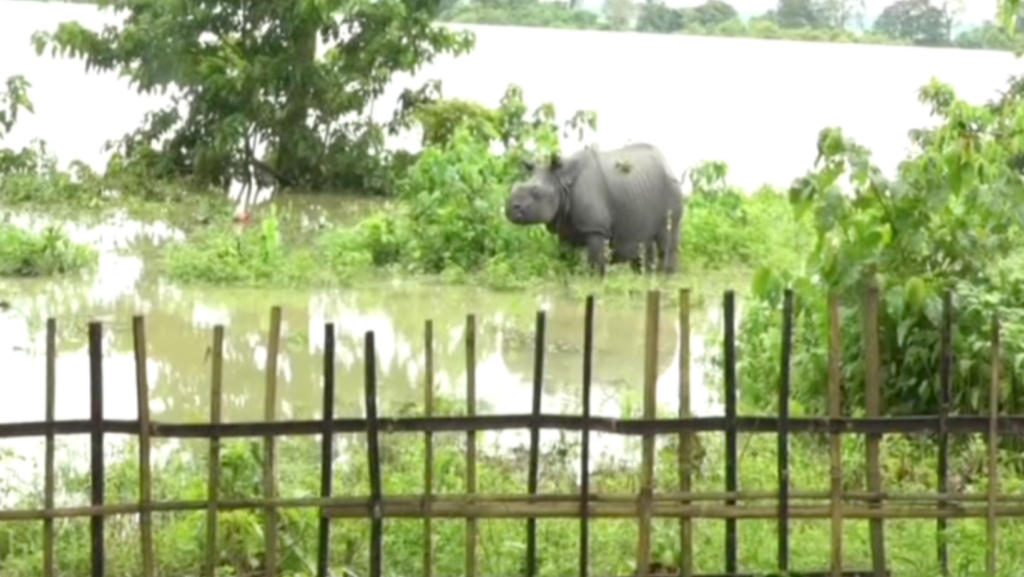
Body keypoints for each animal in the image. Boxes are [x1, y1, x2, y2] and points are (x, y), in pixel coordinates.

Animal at [504, 142, 684, 275]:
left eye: (535, 191)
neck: (561, 182)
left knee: (666, 241)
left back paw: (666, 278)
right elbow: (566, 261)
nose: (509, 209)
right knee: (643, 247)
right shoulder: (565, 230)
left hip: (671, 188)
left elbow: (595, 265)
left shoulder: (596, 229)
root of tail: (668, 166)